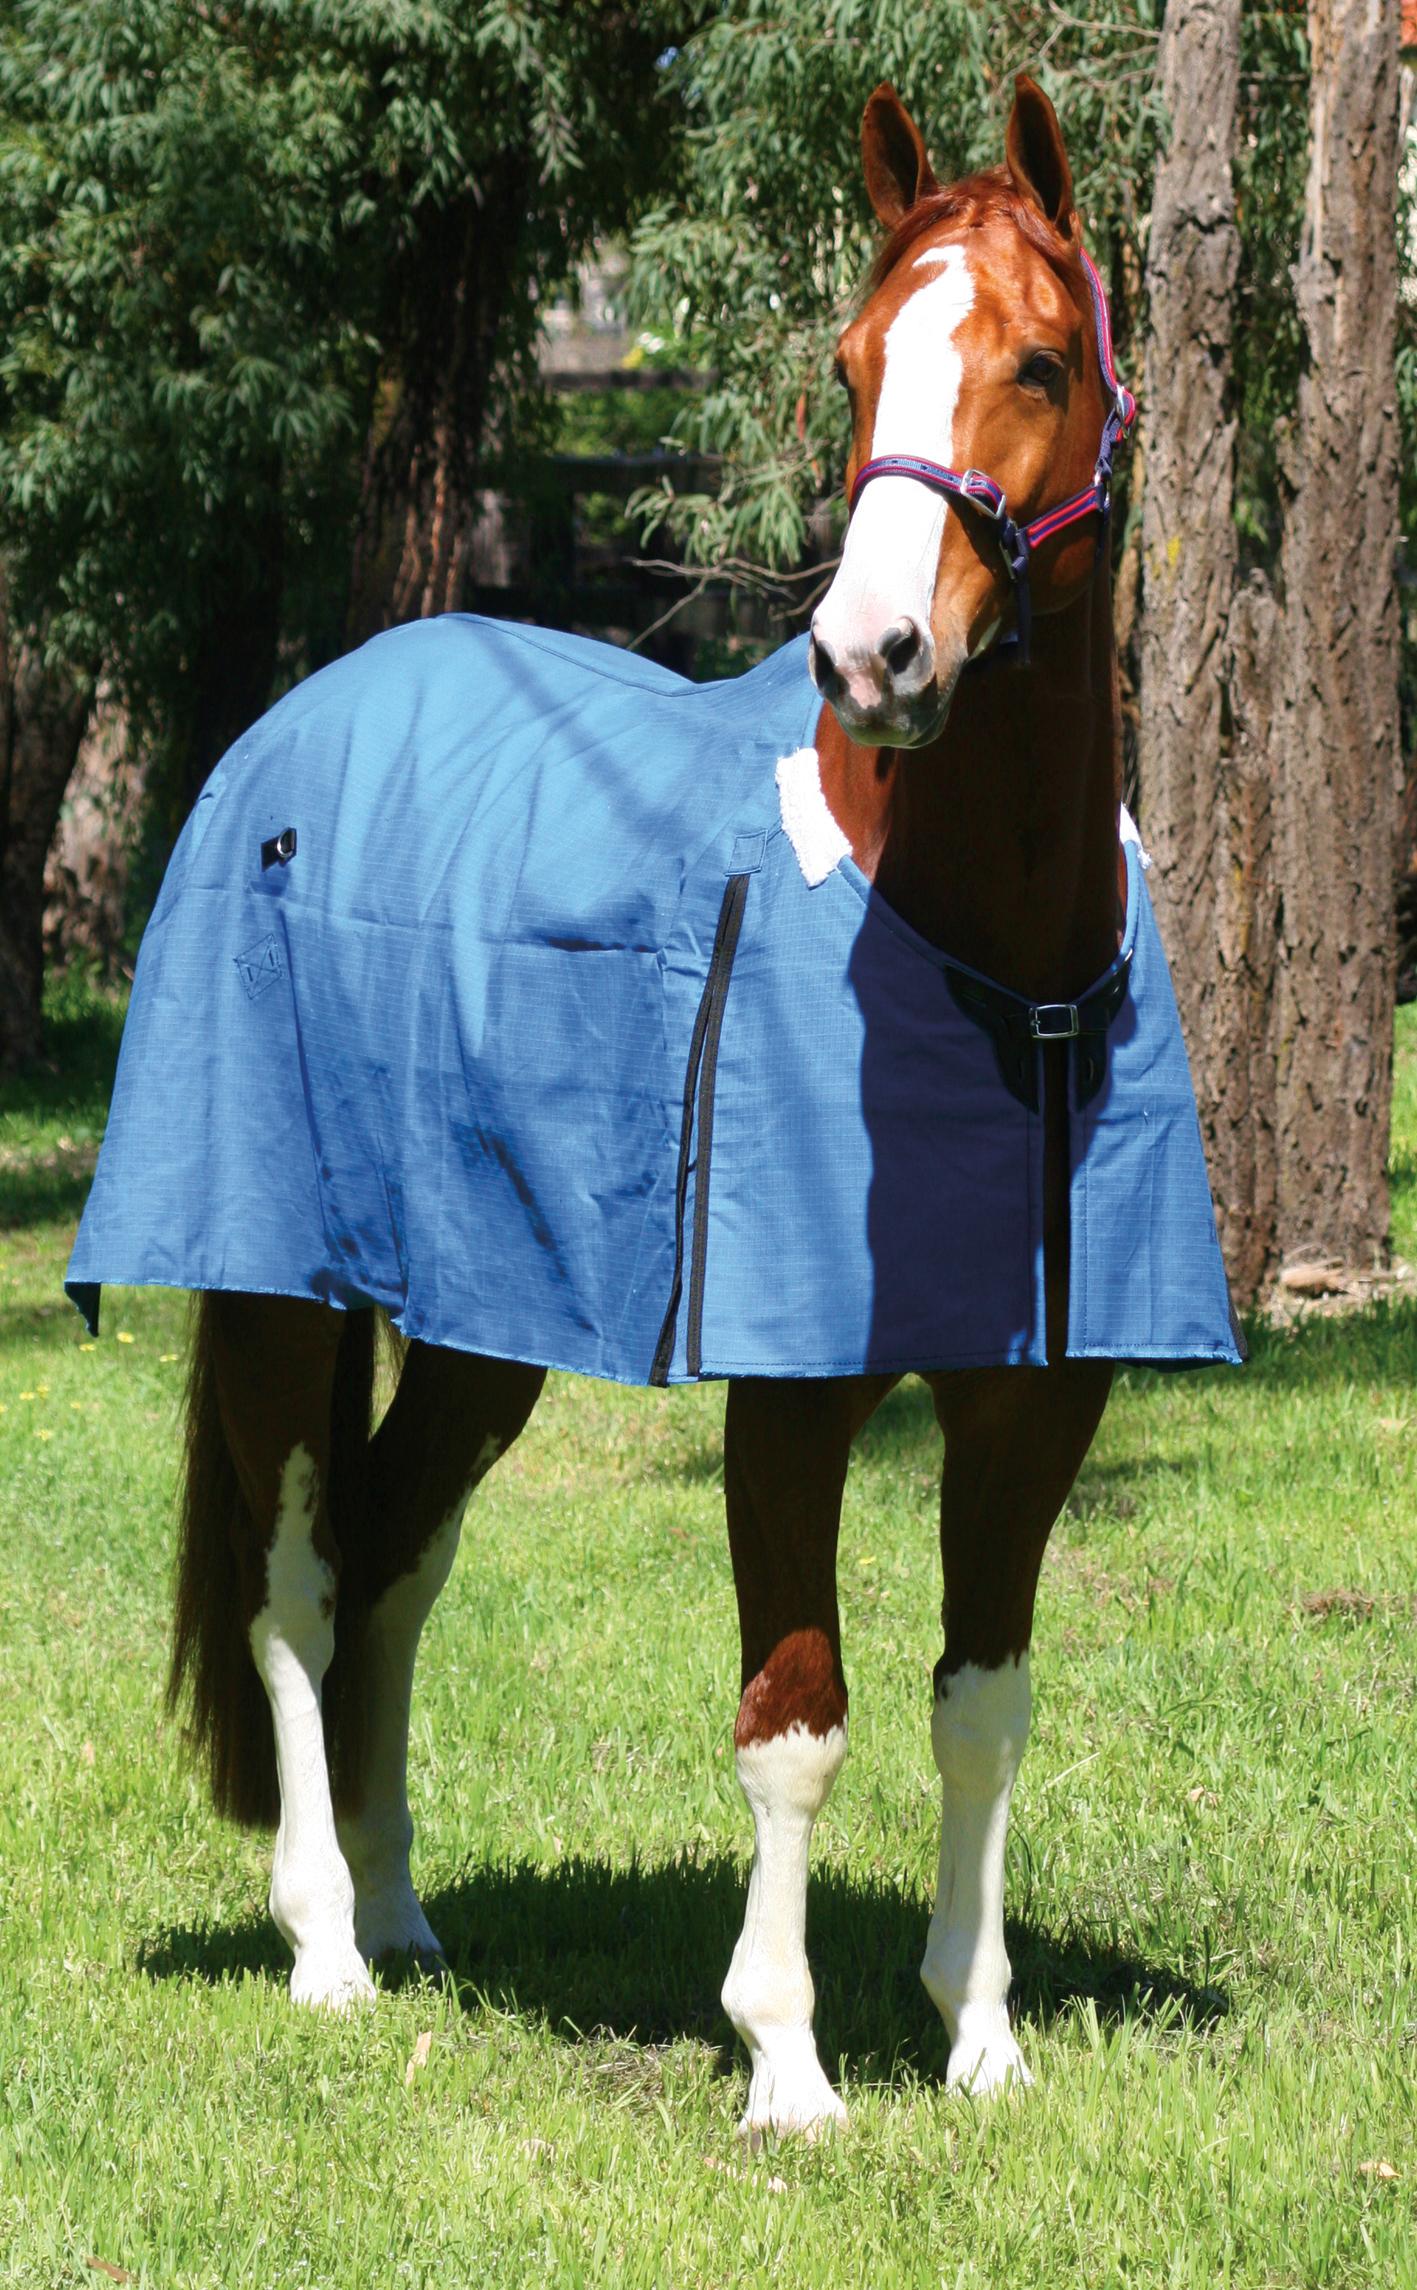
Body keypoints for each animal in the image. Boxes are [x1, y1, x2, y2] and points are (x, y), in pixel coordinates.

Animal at [66, 76, 1239, 2136]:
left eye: (1036, 358)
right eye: (850, 360)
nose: (876, 656)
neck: (987, 954)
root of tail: (289, 728)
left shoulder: (1038, 1395)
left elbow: (983, 1701)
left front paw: (980, 2037)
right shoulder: (787, 1396)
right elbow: (798, 1721)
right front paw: (786, 2066)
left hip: (479, 1318)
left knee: (396, 1551)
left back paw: (407, 1911)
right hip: (284, 1292)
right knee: (299, 1580)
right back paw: (324, 1948)